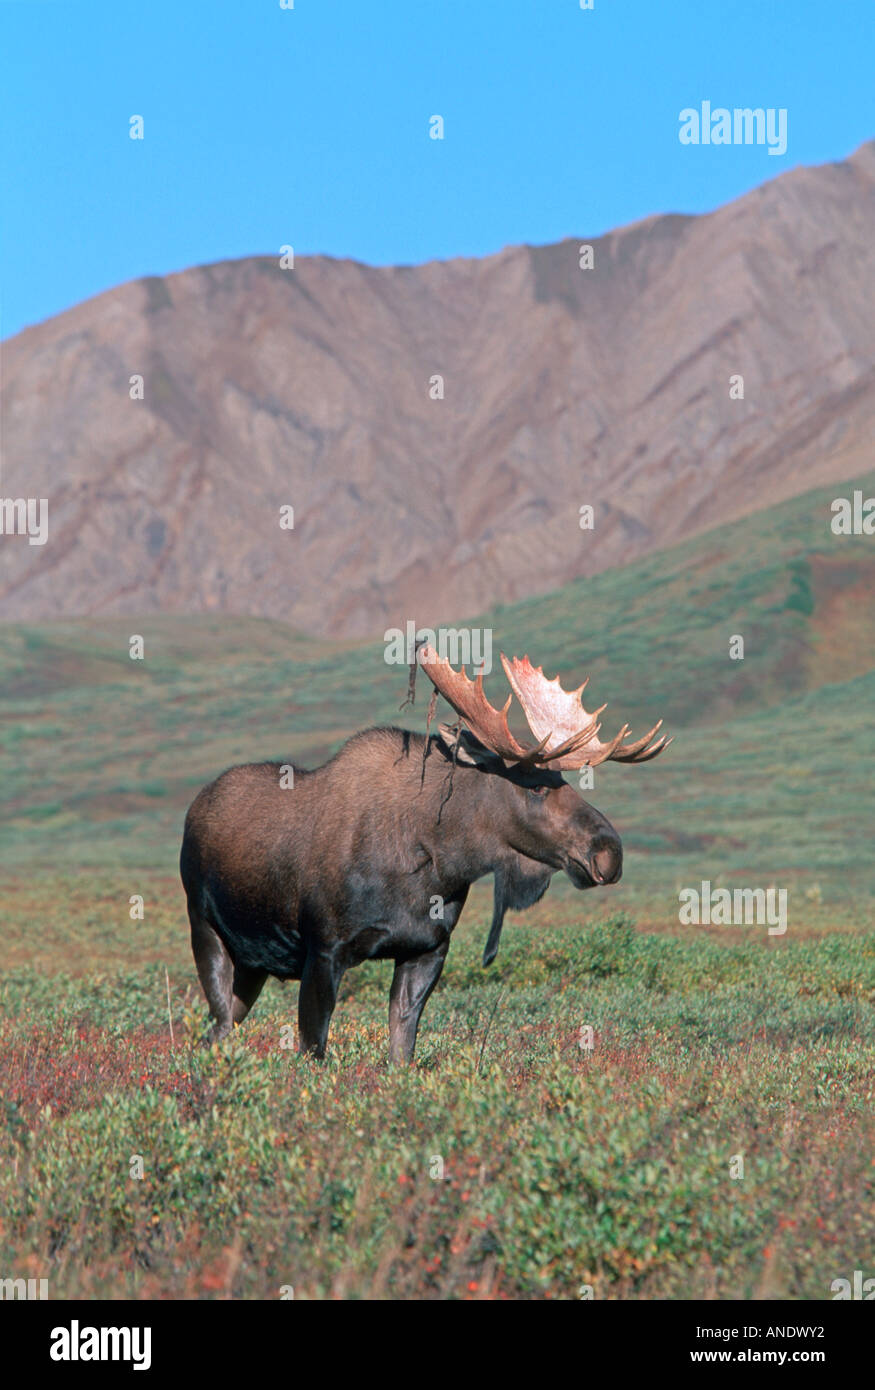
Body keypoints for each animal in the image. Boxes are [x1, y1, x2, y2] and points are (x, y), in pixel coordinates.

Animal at [180, 645, 670, 1062]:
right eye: (533, 786)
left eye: (566, 781)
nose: (608, 852)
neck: (439, 862)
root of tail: (194, 807)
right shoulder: (323, 949)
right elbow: (313, 1051)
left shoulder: (427, 950)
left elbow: (403, 1052)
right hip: (206, 930)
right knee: (217, 1026)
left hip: (253, 963)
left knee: (216, 1032)